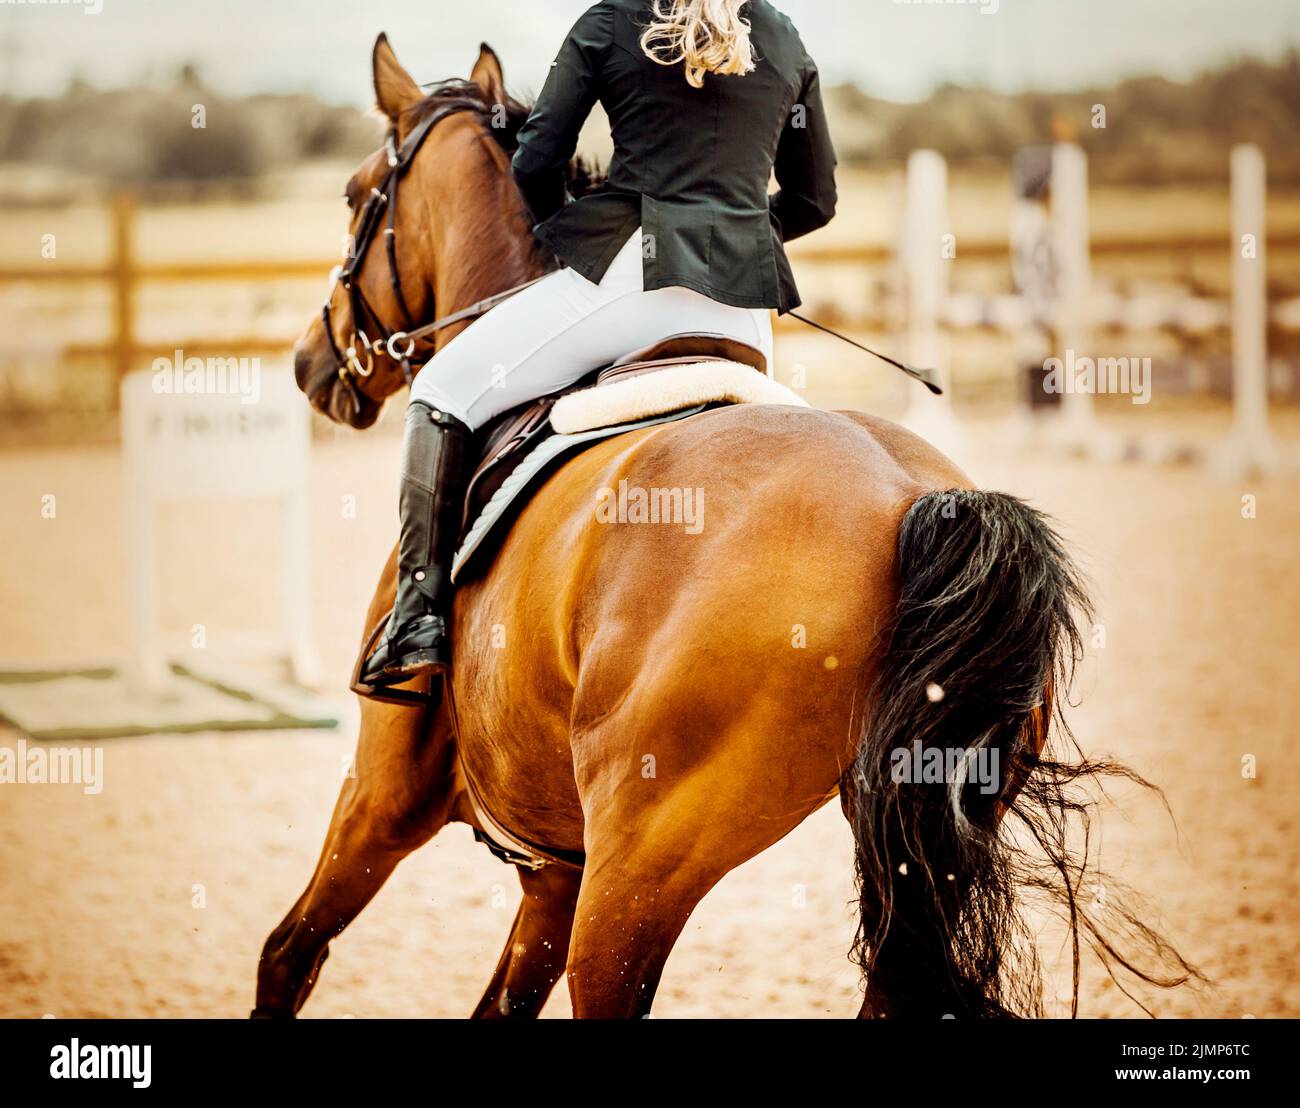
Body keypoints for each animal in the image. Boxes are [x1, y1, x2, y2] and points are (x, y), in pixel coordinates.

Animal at [256, 36, 1197, 1018]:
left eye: (358, 194)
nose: (311, 362)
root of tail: (912, 502)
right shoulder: (553, 867)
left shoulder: (385, 794)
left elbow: (291, 952)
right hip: (903, 844)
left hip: (638, 871)